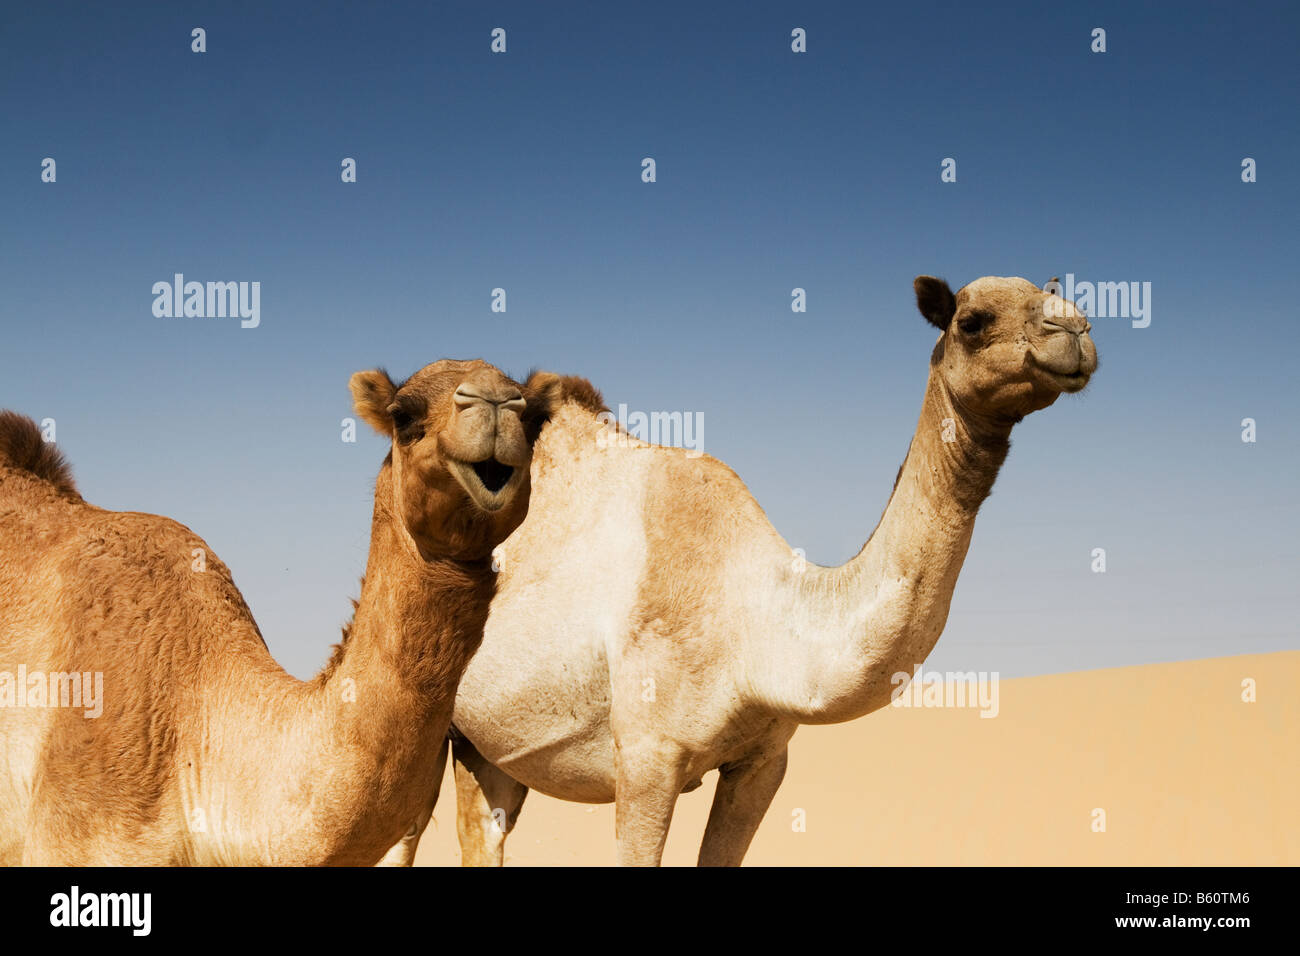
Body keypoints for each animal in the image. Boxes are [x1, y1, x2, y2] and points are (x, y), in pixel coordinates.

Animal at [383, 275, 1099, 866]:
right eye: (973, 320)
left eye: (1064, 298)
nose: (1077, 330)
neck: (760, 620)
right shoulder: (645, 758)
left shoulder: (763, 762)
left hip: (488, 748)